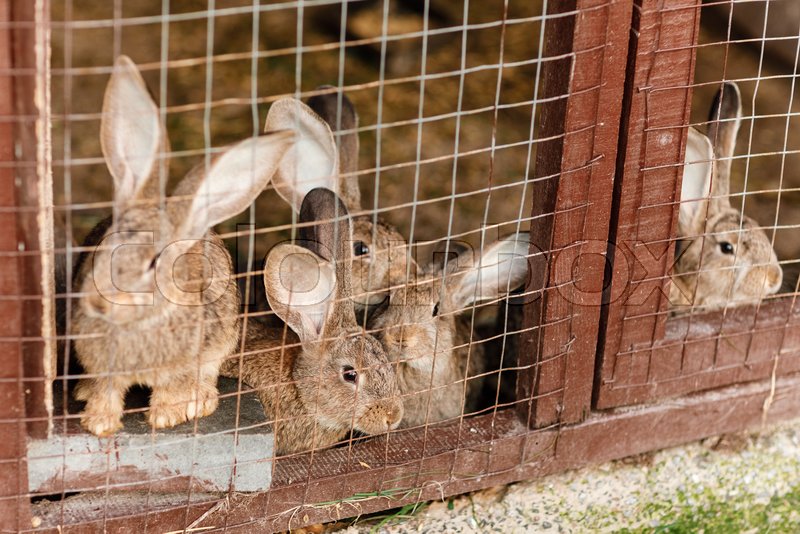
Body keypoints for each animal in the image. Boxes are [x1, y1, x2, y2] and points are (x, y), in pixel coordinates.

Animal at [70, 55, 295, 436]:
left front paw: (166, 417)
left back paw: (201, 401)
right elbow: (106, 391)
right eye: (103, 244)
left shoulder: (187, 361)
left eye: (153, 263)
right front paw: (99, 423)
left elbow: (173, 388)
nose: (99, 303)